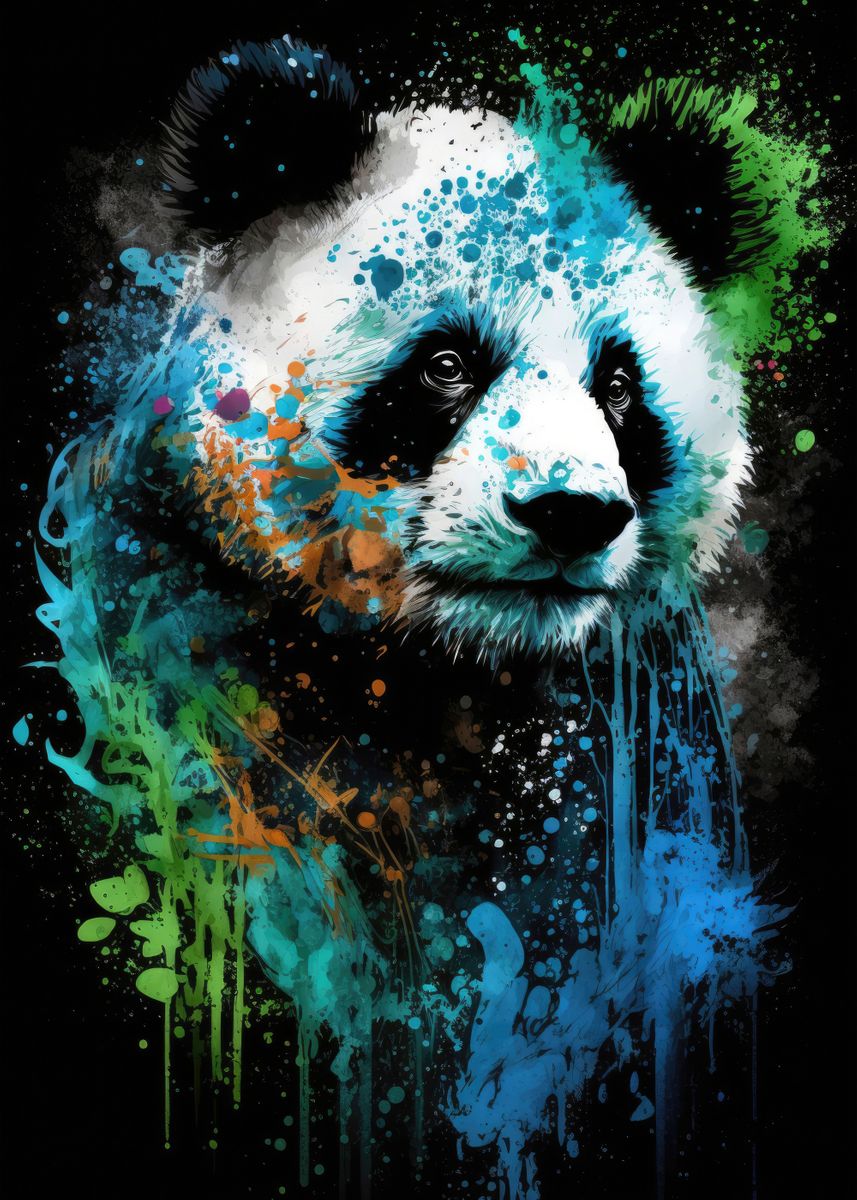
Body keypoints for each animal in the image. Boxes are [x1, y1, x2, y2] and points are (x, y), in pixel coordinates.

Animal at [42, 37, 789, 1199]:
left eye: (619, 386)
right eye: (445, 365)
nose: (571, 512)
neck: (447, 671)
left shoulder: (637, 740)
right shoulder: (188, 639)